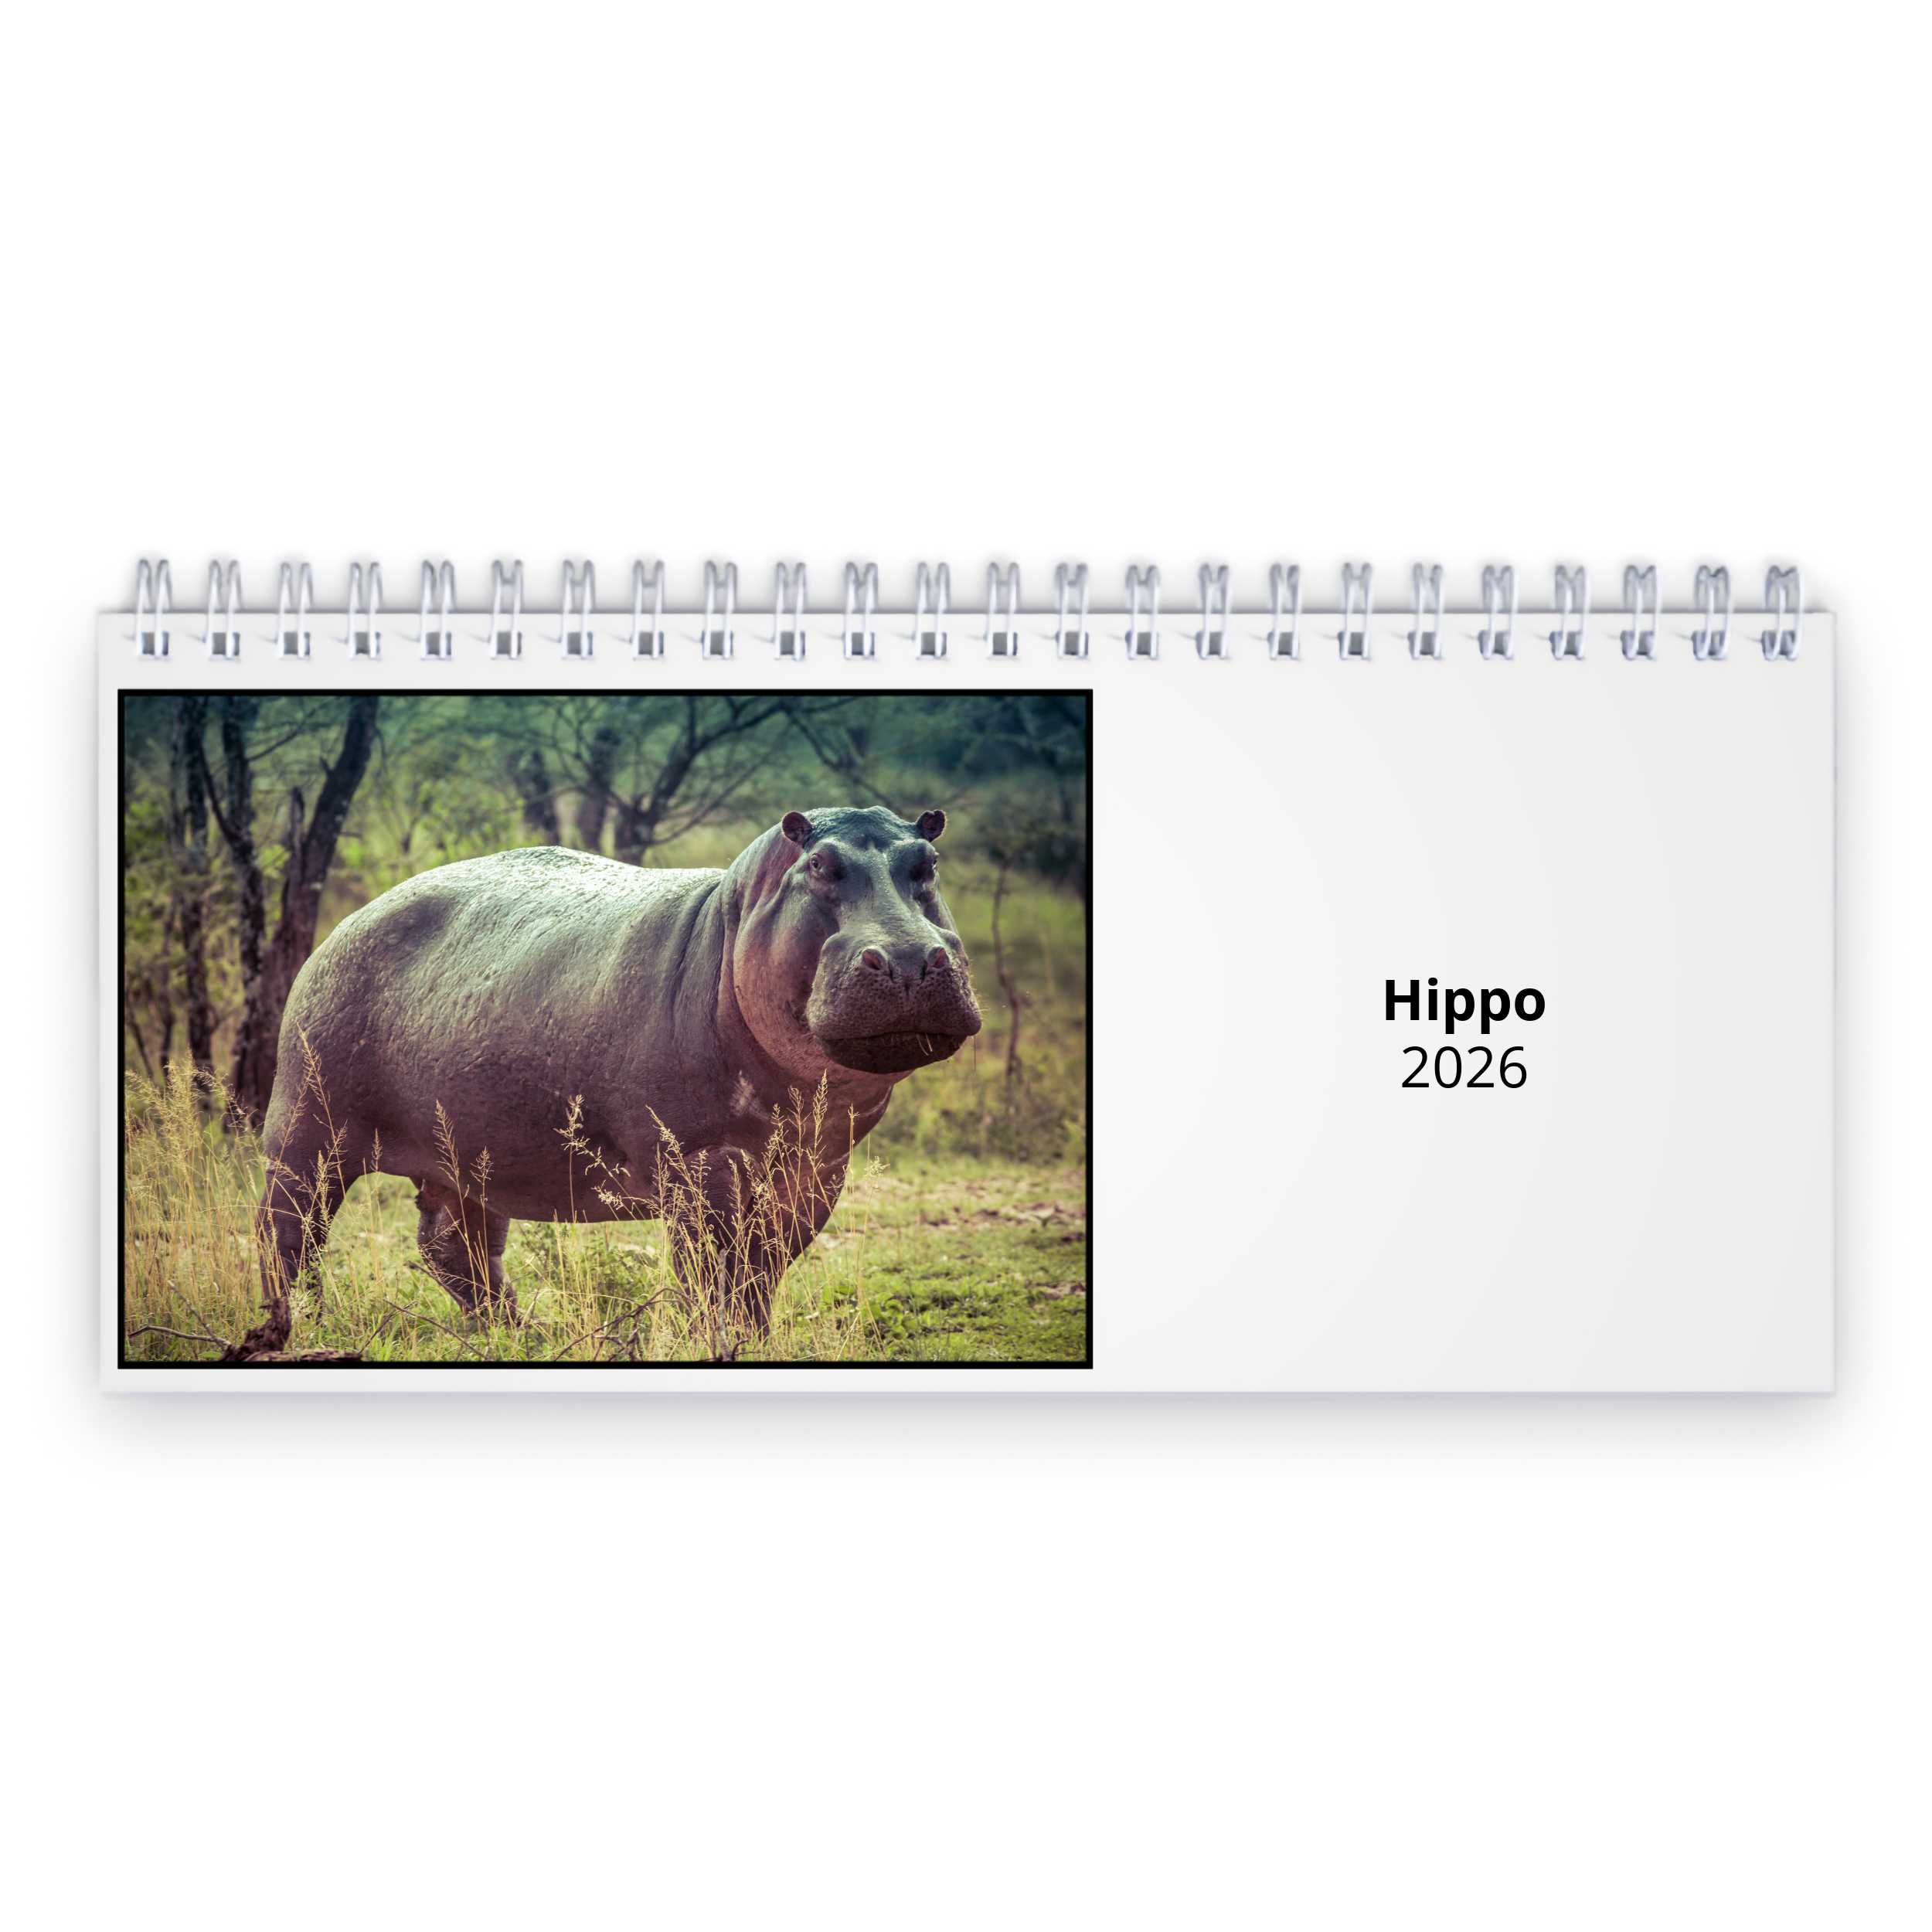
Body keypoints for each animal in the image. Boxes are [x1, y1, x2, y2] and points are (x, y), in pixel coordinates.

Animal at [227, 805, 982, 1360]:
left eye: (928, 865)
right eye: (821, 865)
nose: (910, 959)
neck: (733, 920)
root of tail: (347, 922)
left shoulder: (817, 1166)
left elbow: (762, 1270)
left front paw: (757, 1342)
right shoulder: (698, 1161)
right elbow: (710, 1270)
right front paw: (718, 1345)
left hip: (466, 1156)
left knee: (455, 1247)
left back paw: (522, 1333)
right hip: (308, 1129)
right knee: (288, 1232)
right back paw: (296, 1331)